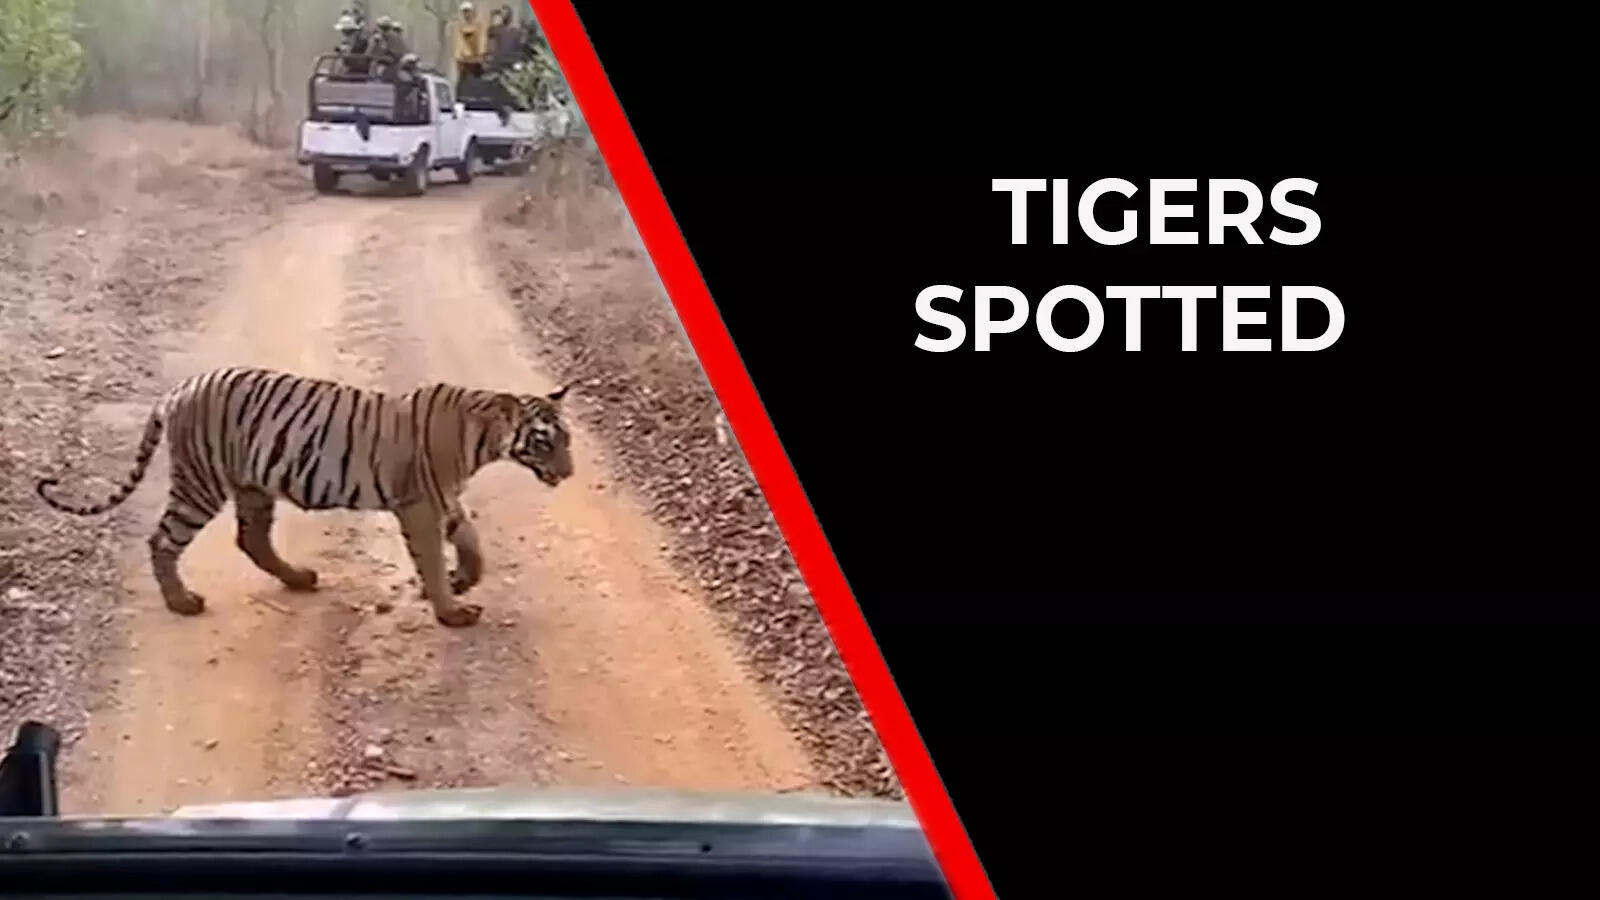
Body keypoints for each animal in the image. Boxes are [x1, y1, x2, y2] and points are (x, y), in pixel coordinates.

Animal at [36, 365, 575, 628]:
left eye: (567, 439)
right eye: (545, 441)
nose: (568, 473)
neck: (481, 437)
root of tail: (180, 388)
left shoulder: (444, 497)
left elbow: (470, 540)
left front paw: (466, 579)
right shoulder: (420, 504)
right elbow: (433, 557)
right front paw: (451, 609)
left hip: (252, 486)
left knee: (251, 539)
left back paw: (298, 578)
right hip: (201, 482)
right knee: (163, 539)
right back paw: (182, 602)